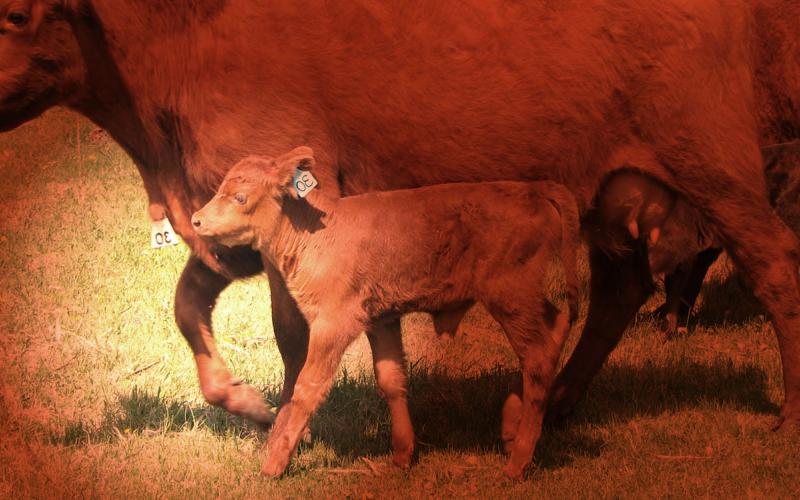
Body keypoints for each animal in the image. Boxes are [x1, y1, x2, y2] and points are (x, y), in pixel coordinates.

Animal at [190, 147, 580, 478]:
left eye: (241, 197)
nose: (196, 220)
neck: (318, 234)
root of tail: (531, 189)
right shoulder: (382, 320)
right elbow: (391, 379)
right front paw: (402, 455)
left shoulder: (332, 323)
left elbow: (306, 387)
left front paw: (274, 463)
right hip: (524, 299)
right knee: (555, 331)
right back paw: (511, 428)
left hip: (510, 296)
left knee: (538, 355)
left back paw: (518, 461)